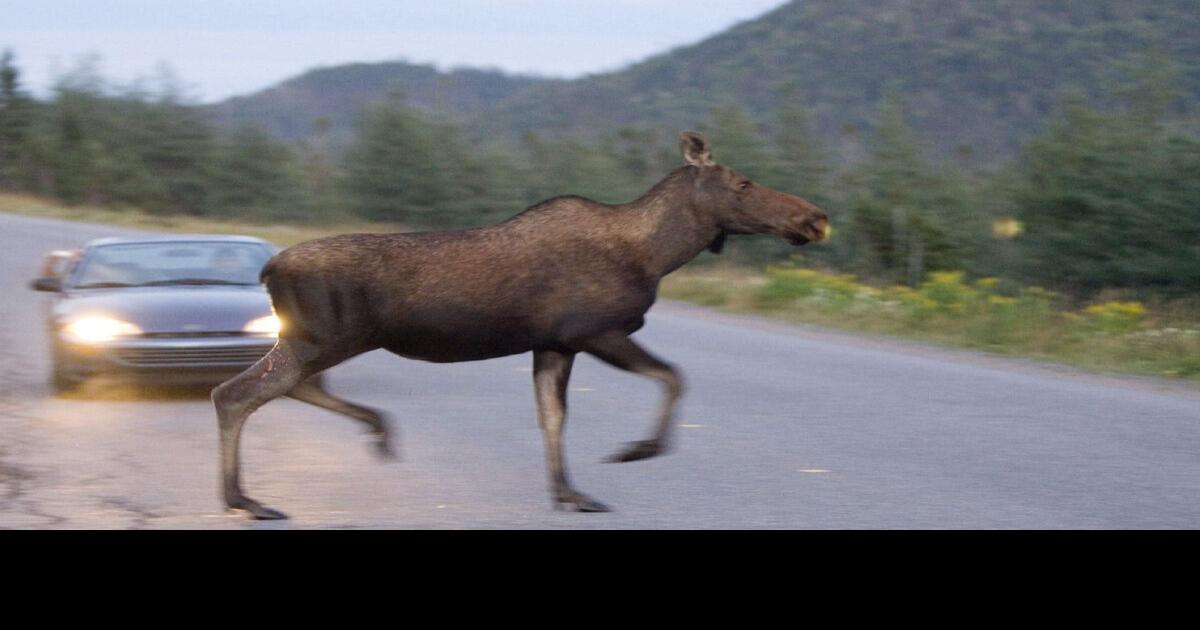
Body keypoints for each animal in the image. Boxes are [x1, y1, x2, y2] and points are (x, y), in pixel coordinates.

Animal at [212, 131, 829, 519]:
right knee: (239, 394)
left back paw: (363, 435)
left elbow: (552, 419)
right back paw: (247, 499)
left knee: (271, 390)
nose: (815, 217)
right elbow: (673, 377)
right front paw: (634, 451)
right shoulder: (595, 331)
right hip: (323, 338)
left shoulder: (554, 344)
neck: (655, 254)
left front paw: (570, 494)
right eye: (743, 183)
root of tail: (269, 268)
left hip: (314, 340)